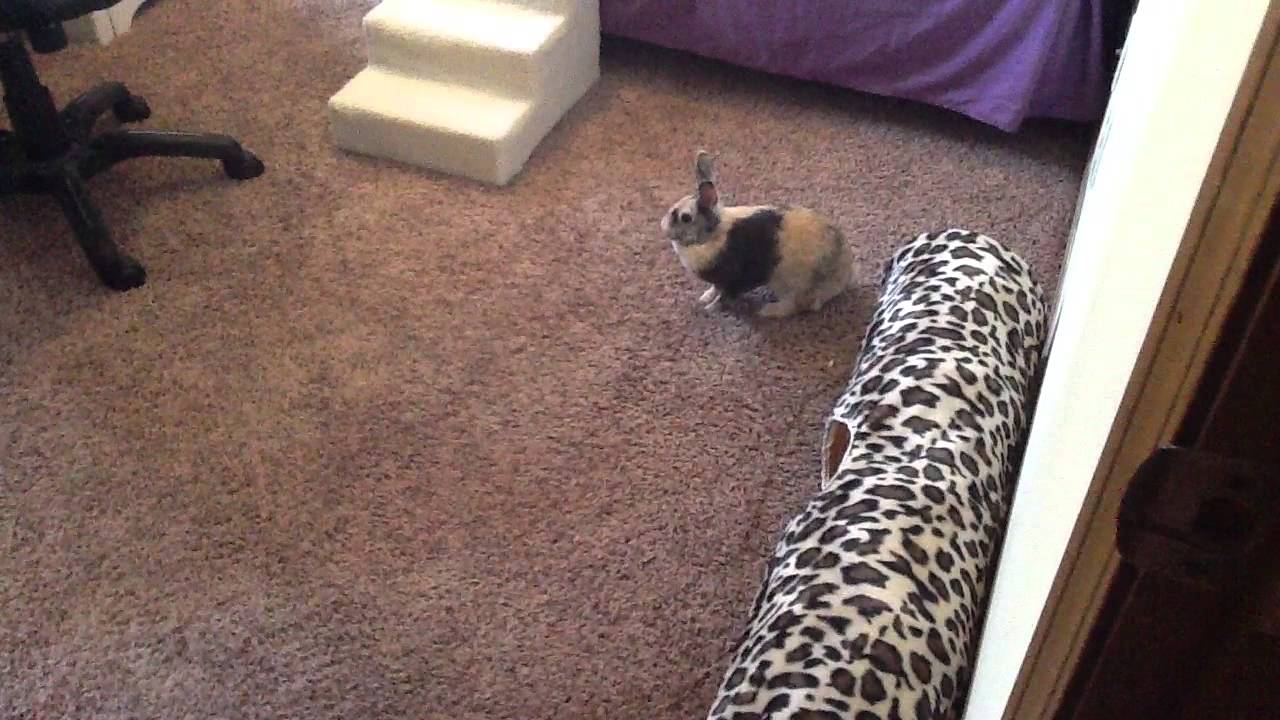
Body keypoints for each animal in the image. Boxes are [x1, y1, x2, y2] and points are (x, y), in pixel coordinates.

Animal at [661, 150, 853, 318]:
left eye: (685, 218)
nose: (663, 226)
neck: (711, 236)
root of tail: (844, 274)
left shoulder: (735, 280)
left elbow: (724, 297)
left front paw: (710, 308)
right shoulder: (720, 281)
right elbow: (715, 289)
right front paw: (704, 298)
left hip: (794, 285)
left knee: (799, 305)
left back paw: (767, 311)